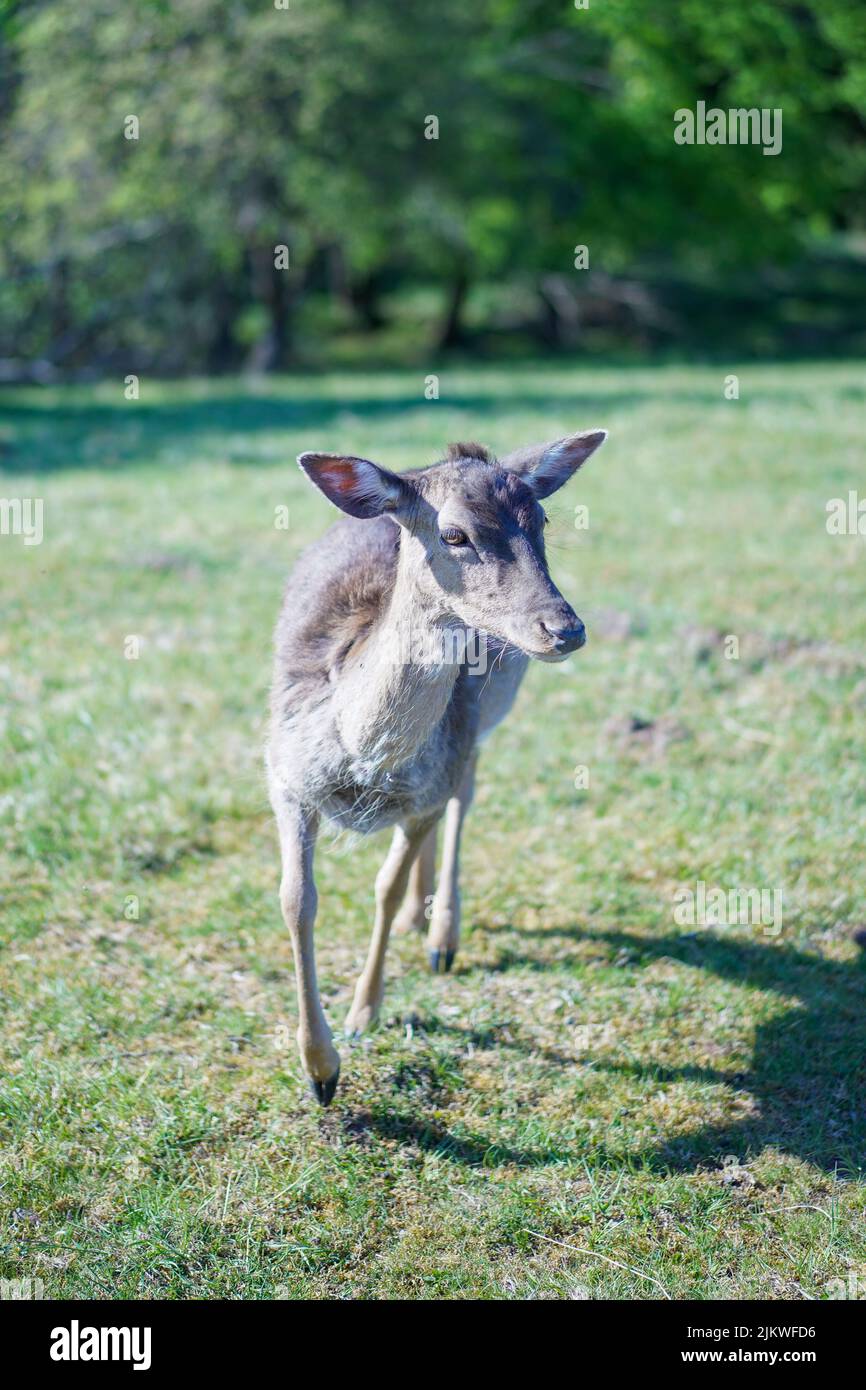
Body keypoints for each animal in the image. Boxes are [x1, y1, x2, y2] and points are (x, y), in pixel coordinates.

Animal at [266, 429, 607, 1104]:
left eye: (542, 521)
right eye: (454, 534)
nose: (566, 628)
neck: (362, 762)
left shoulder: (432, 781)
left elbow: (386, 886)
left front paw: (362, 1014)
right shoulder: (283, 775)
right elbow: (297, 899)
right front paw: (318, 1069)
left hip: (483, 722)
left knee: (464, 798)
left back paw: (440, 937)